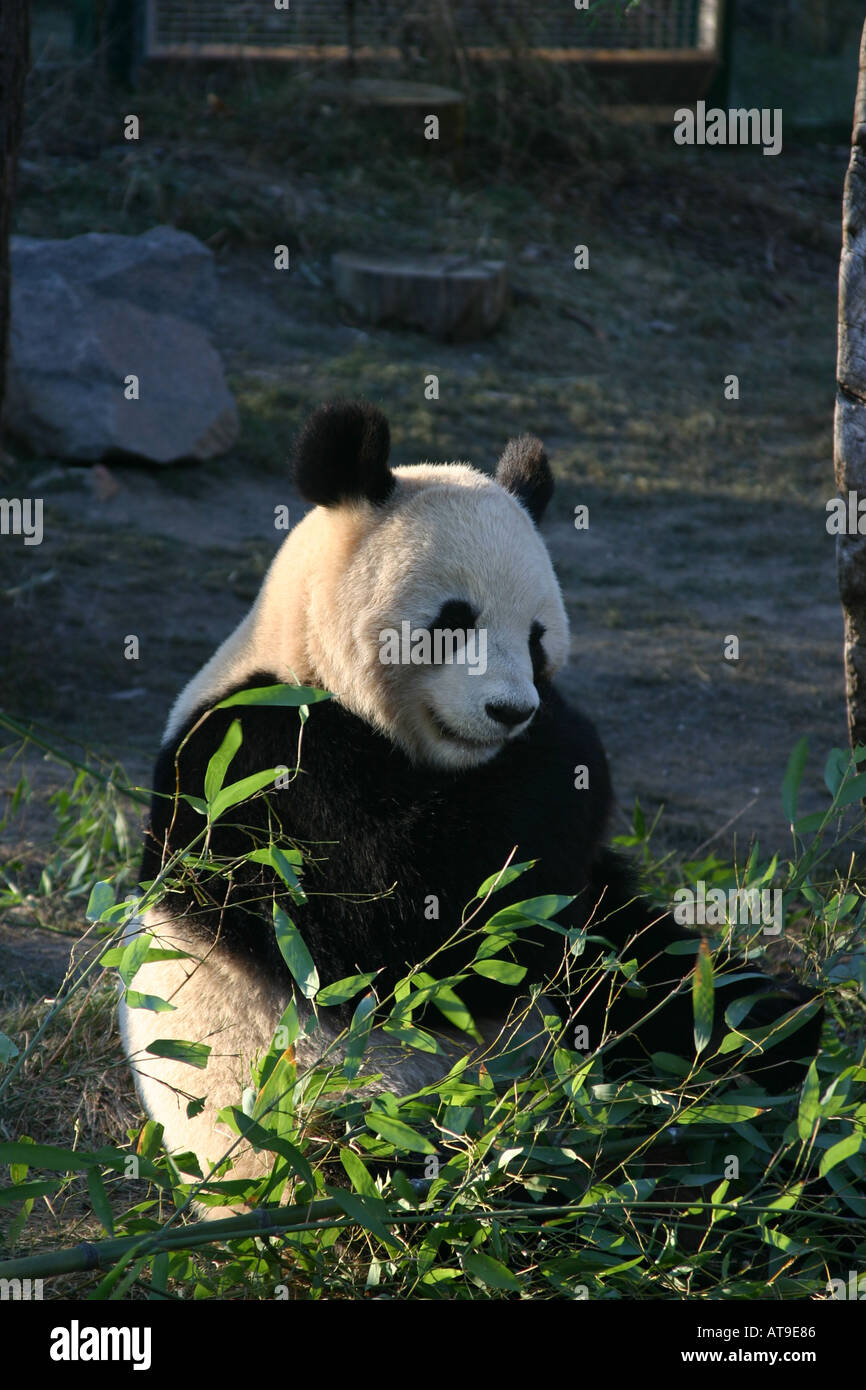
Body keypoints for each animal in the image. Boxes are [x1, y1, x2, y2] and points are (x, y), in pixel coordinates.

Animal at [119, 400, 821, 1188]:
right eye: (454, 620)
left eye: (538, 636)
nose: (510, 711)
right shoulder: (264, 761)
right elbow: (407, 913)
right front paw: (564, 748)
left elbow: (584, 921)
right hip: (334, 1121)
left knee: (670, 1002)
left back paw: (764, 1054)